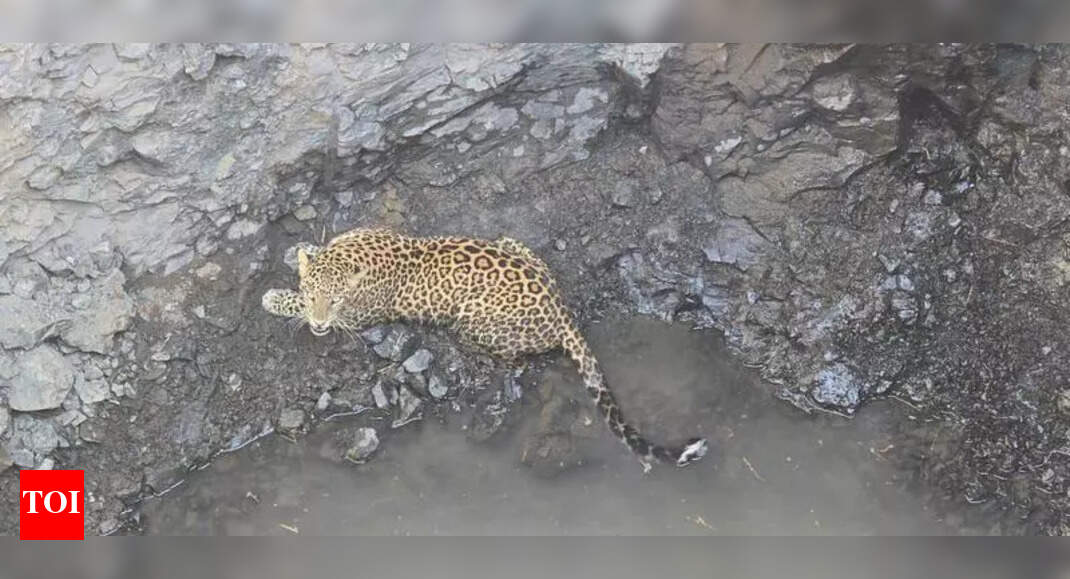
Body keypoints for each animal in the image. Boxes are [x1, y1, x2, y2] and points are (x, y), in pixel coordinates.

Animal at [262, 227, 708, 470]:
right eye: (315, 294)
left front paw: (274, 299)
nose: (320, 324)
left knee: (515, 358)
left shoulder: (361, 317)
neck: (352, 255)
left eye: (334, 302)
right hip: (516, 246)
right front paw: (300, 254)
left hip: (476, 317)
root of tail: (562, 313)